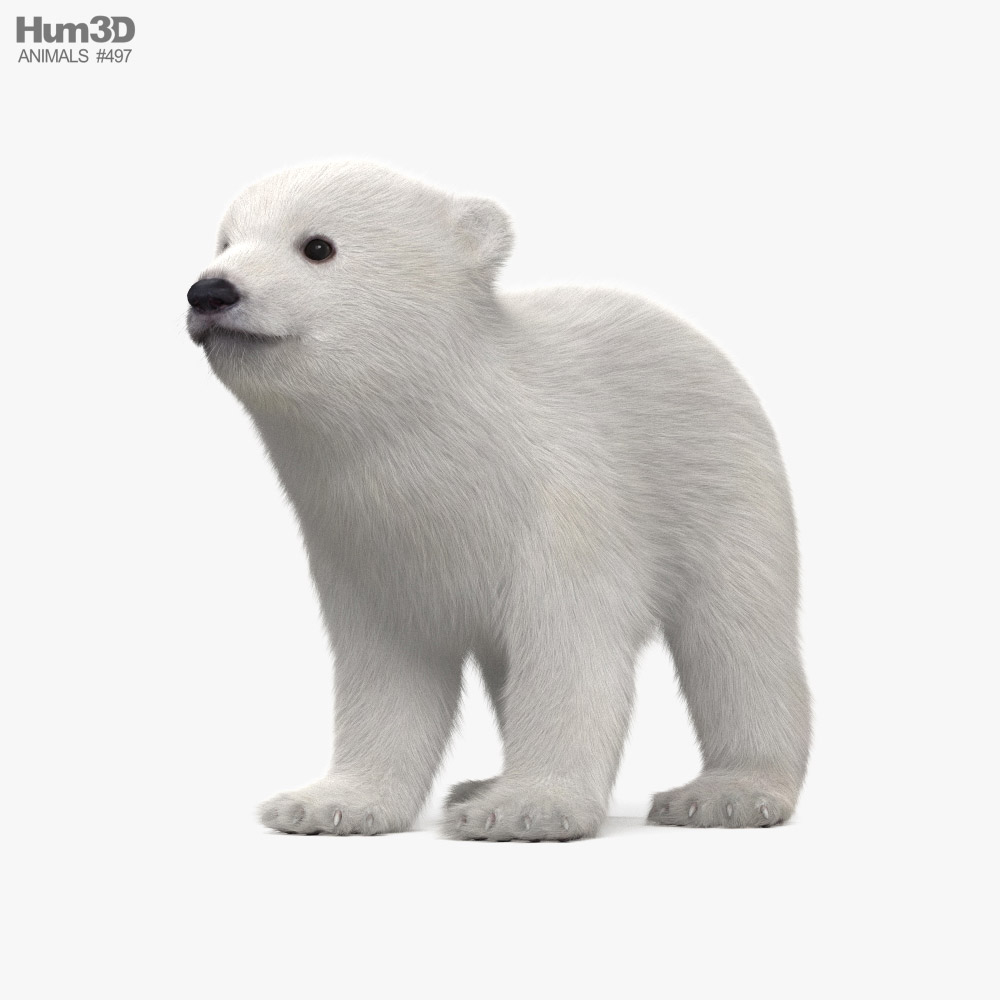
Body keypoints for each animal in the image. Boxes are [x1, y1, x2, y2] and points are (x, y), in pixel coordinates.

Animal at [186, 161, 811, 841]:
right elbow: (387, 672)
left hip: (726, 484)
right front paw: (327, 804)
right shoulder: (363, 551)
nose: (210, 291)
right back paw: (477, 782)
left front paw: (525, 809)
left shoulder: (563, 508)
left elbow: (569, 650)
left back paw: (728, 793)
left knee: (737, 634)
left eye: (317, 245)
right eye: (225, 240)